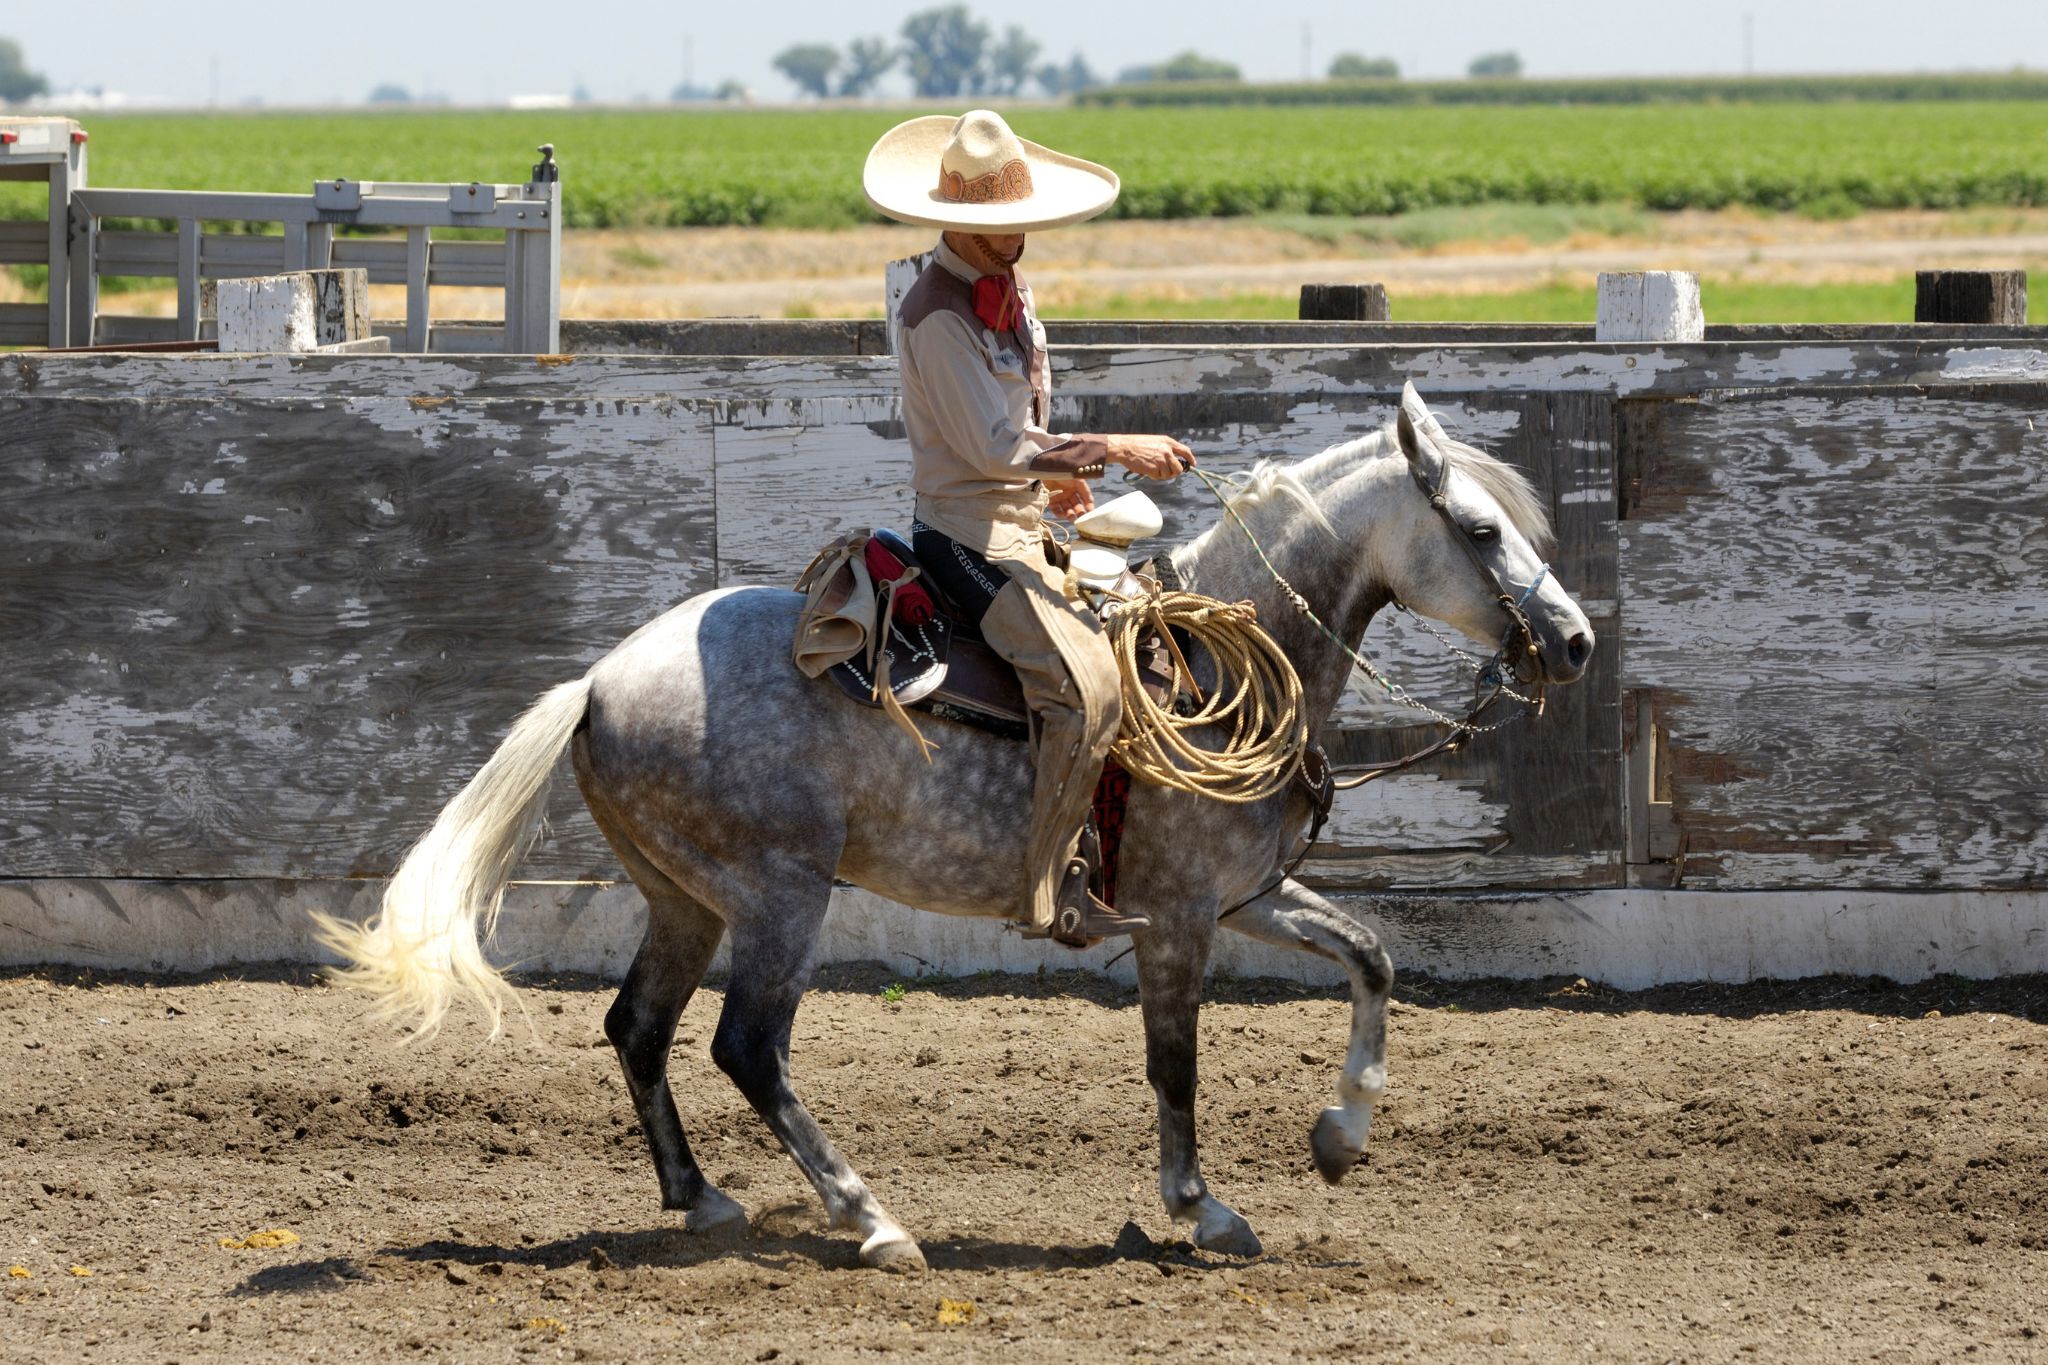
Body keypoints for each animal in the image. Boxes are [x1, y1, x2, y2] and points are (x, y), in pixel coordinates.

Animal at [317, 383, 1594, 1272]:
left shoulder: (1248, 894)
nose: (1575, 642)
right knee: (745, 1046)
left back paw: (702, 1198)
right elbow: (1173, 1060)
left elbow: (1373, 959)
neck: (1204, 667)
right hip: (781, 893)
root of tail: (593, 683)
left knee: (637, 1025)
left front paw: (1342, 1133)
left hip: (685, 896)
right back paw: (871, 1219)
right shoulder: (1176, 916)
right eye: (1479, 530)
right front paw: (1200, 1207)